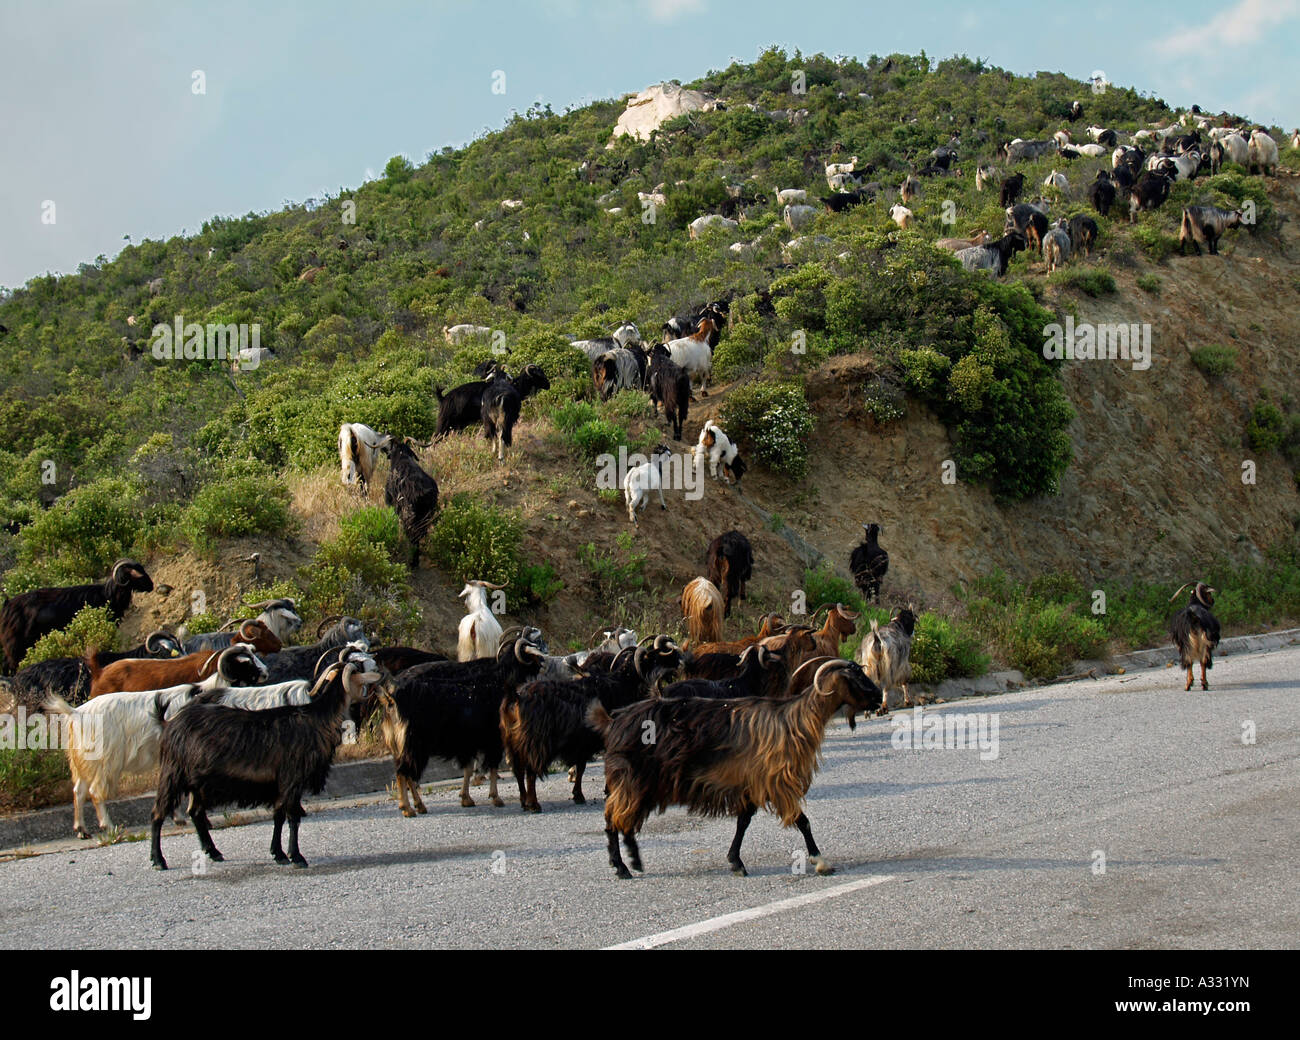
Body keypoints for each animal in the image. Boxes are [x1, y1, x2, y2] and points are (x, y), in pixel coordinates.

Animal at [149, 650, 382, 869]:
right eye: (359, 667)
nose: (379, 676)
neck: (318, 717)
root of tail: (169, 722)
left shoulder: (279, 782)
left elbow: (278, 816)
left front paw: (278, 854)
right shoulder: (292, 778)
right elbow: (292, 817)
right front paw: (296, 856)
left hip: (199, 782)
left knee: (195, 812)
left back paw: (213, 852)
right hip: (173, 772)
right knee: (158, 813)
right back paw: (158, 860)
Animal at [379, 636, 546, 814]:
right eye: (531, 650)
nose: (543, 661)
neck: (499, 678)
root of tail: (391, 698)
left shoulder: (468, 743)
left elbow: (468, 767)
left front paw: (466, 798)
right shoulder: (493, 740)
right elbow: (492, 766)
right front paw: (496, 797)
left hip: (402, 747)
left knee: (405, 772)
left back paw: (418, 805)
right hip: (414, 746)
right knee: (403, 772)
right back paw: (408, 808)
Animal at [500, 636, 684, 810]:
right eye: (656, 657)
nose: (680, 661)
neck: (623, 684)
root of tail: (517, 697)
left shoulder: (584, 742)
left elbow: (581, 767)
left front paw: (580, 794)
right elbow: (592, 765)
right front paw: (598, 792)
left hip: (512, 743)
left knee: (518, 771)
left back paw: (524, 802)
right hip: (535, 743)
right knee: (530, 772)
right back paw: (533, 805)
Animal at [592, 658, 882, 877]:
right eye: (858, 677)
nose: (879, 696)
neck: (794, 720)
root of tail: (613, 722)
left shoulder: (751, 782)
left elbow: (743, 822)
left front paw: (735, 861)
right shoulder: (776, 782)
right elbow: (803, 821)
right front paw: (820, 861)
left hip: (641, 784)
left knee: (624, 819)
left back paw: (634, 860)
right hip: (631, 779)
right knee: (612, 818)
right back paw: (621, 866)